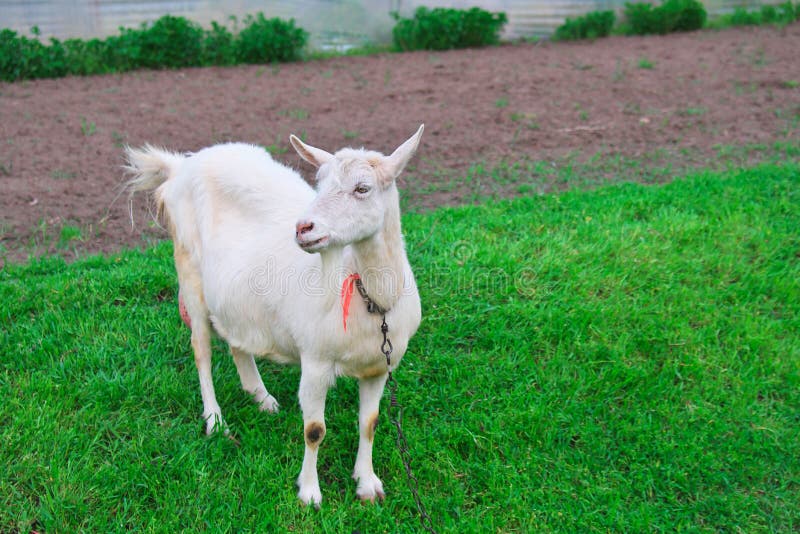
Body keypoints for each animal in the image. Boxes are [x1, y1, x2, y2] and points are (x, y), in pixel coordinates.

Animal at [125, 126, 424, 506]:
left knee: (236, 338)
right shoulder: (315, 360)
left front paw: (367, 483)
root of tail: (182, 165)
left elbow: (369, 422)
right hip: (189, 271)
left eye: (362, 188)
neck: (373, 297)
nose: (303, 227)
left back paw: (261, 396)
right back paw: (215, 420)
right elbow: (315, 430)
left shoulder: (379, 366)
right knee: (201, 350)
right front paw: (309, 493)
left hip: (235, 295)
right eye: (319, 183)